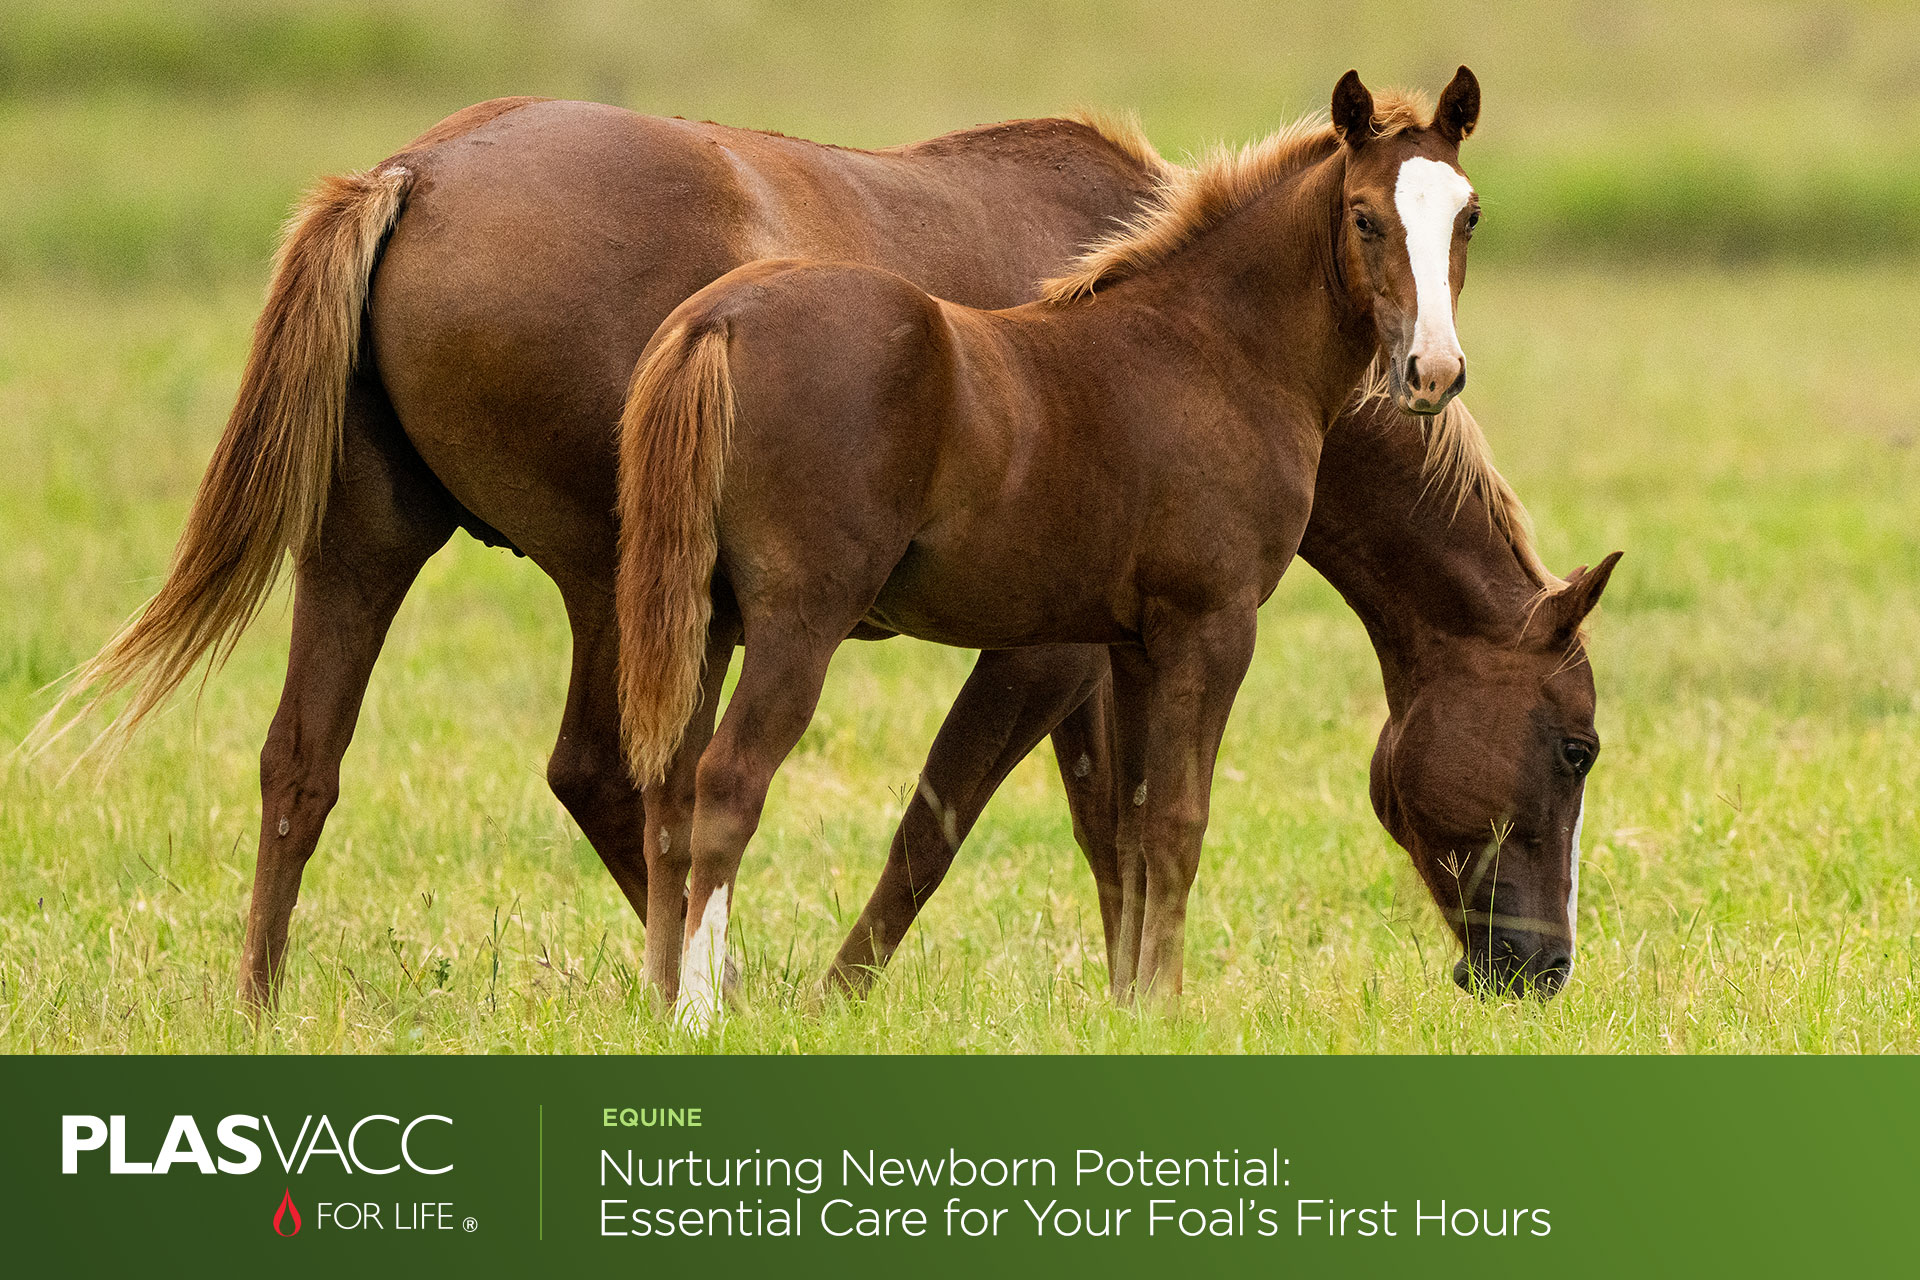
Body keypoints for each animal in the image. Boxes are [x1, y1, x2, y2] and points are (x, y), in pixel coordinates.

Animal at [615, 69, 1489, 1024]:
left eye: (1469, 215)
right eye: (1365, 216)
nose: (1433, 373)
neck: (1219, 349)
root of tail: (720, 319)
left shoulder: (1136, 644)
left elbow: (1134, 824)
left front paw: (1136, 1006)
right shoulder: (1212, 626)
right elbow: (1179, 823)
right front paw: (1166, 1006)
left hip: (706, 620)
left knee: (665, 794)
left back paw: (659, 999)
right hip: (798, 623)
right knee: (728, 782)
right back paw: (698, 1011)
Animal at [827, 394, 1619, 1001]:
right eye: (1577, 752)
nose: (1554, 968)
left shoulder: (1111, 650)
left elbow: (1113, 833)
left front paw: (1127, 1002)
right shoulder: (1055, 652)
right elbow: (935, 828)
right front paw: (836, 1002)